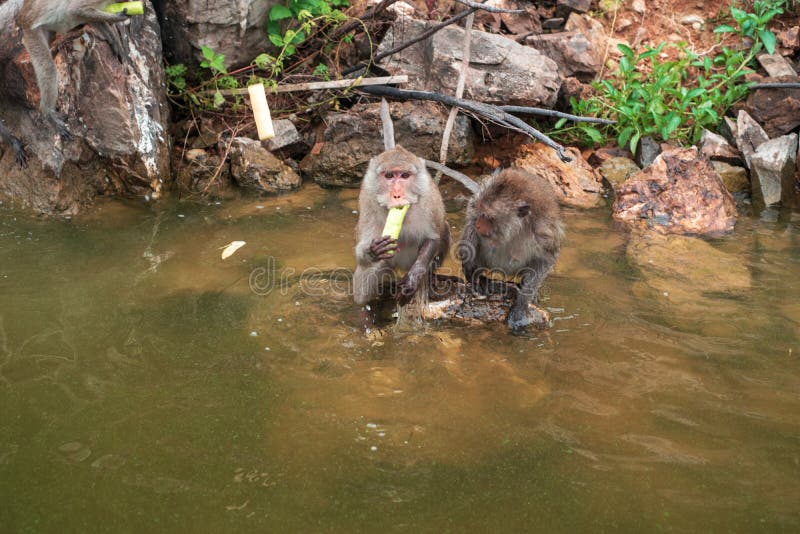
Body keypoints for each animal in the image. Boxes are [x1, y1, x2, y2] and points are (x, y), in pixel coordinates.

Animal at [353, 99, 451, 310]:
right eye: (389, 175)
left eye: (405, 176)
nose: (397, 195)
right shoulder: (367, 198)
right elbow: (361, 252)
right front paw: (373, 250)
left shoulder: (429, 200)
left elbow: (433, 238)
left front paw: (414, 277)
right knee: (370, 273)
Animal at [458, 168, 564, 330]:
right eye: (480, 211)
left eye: (489, 217)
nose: (479, 225)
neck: (516, 229)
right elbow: (470, 223)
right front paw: (471, 269)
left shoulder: (545, 232)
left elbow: (546, 259)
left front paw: (523, 302)